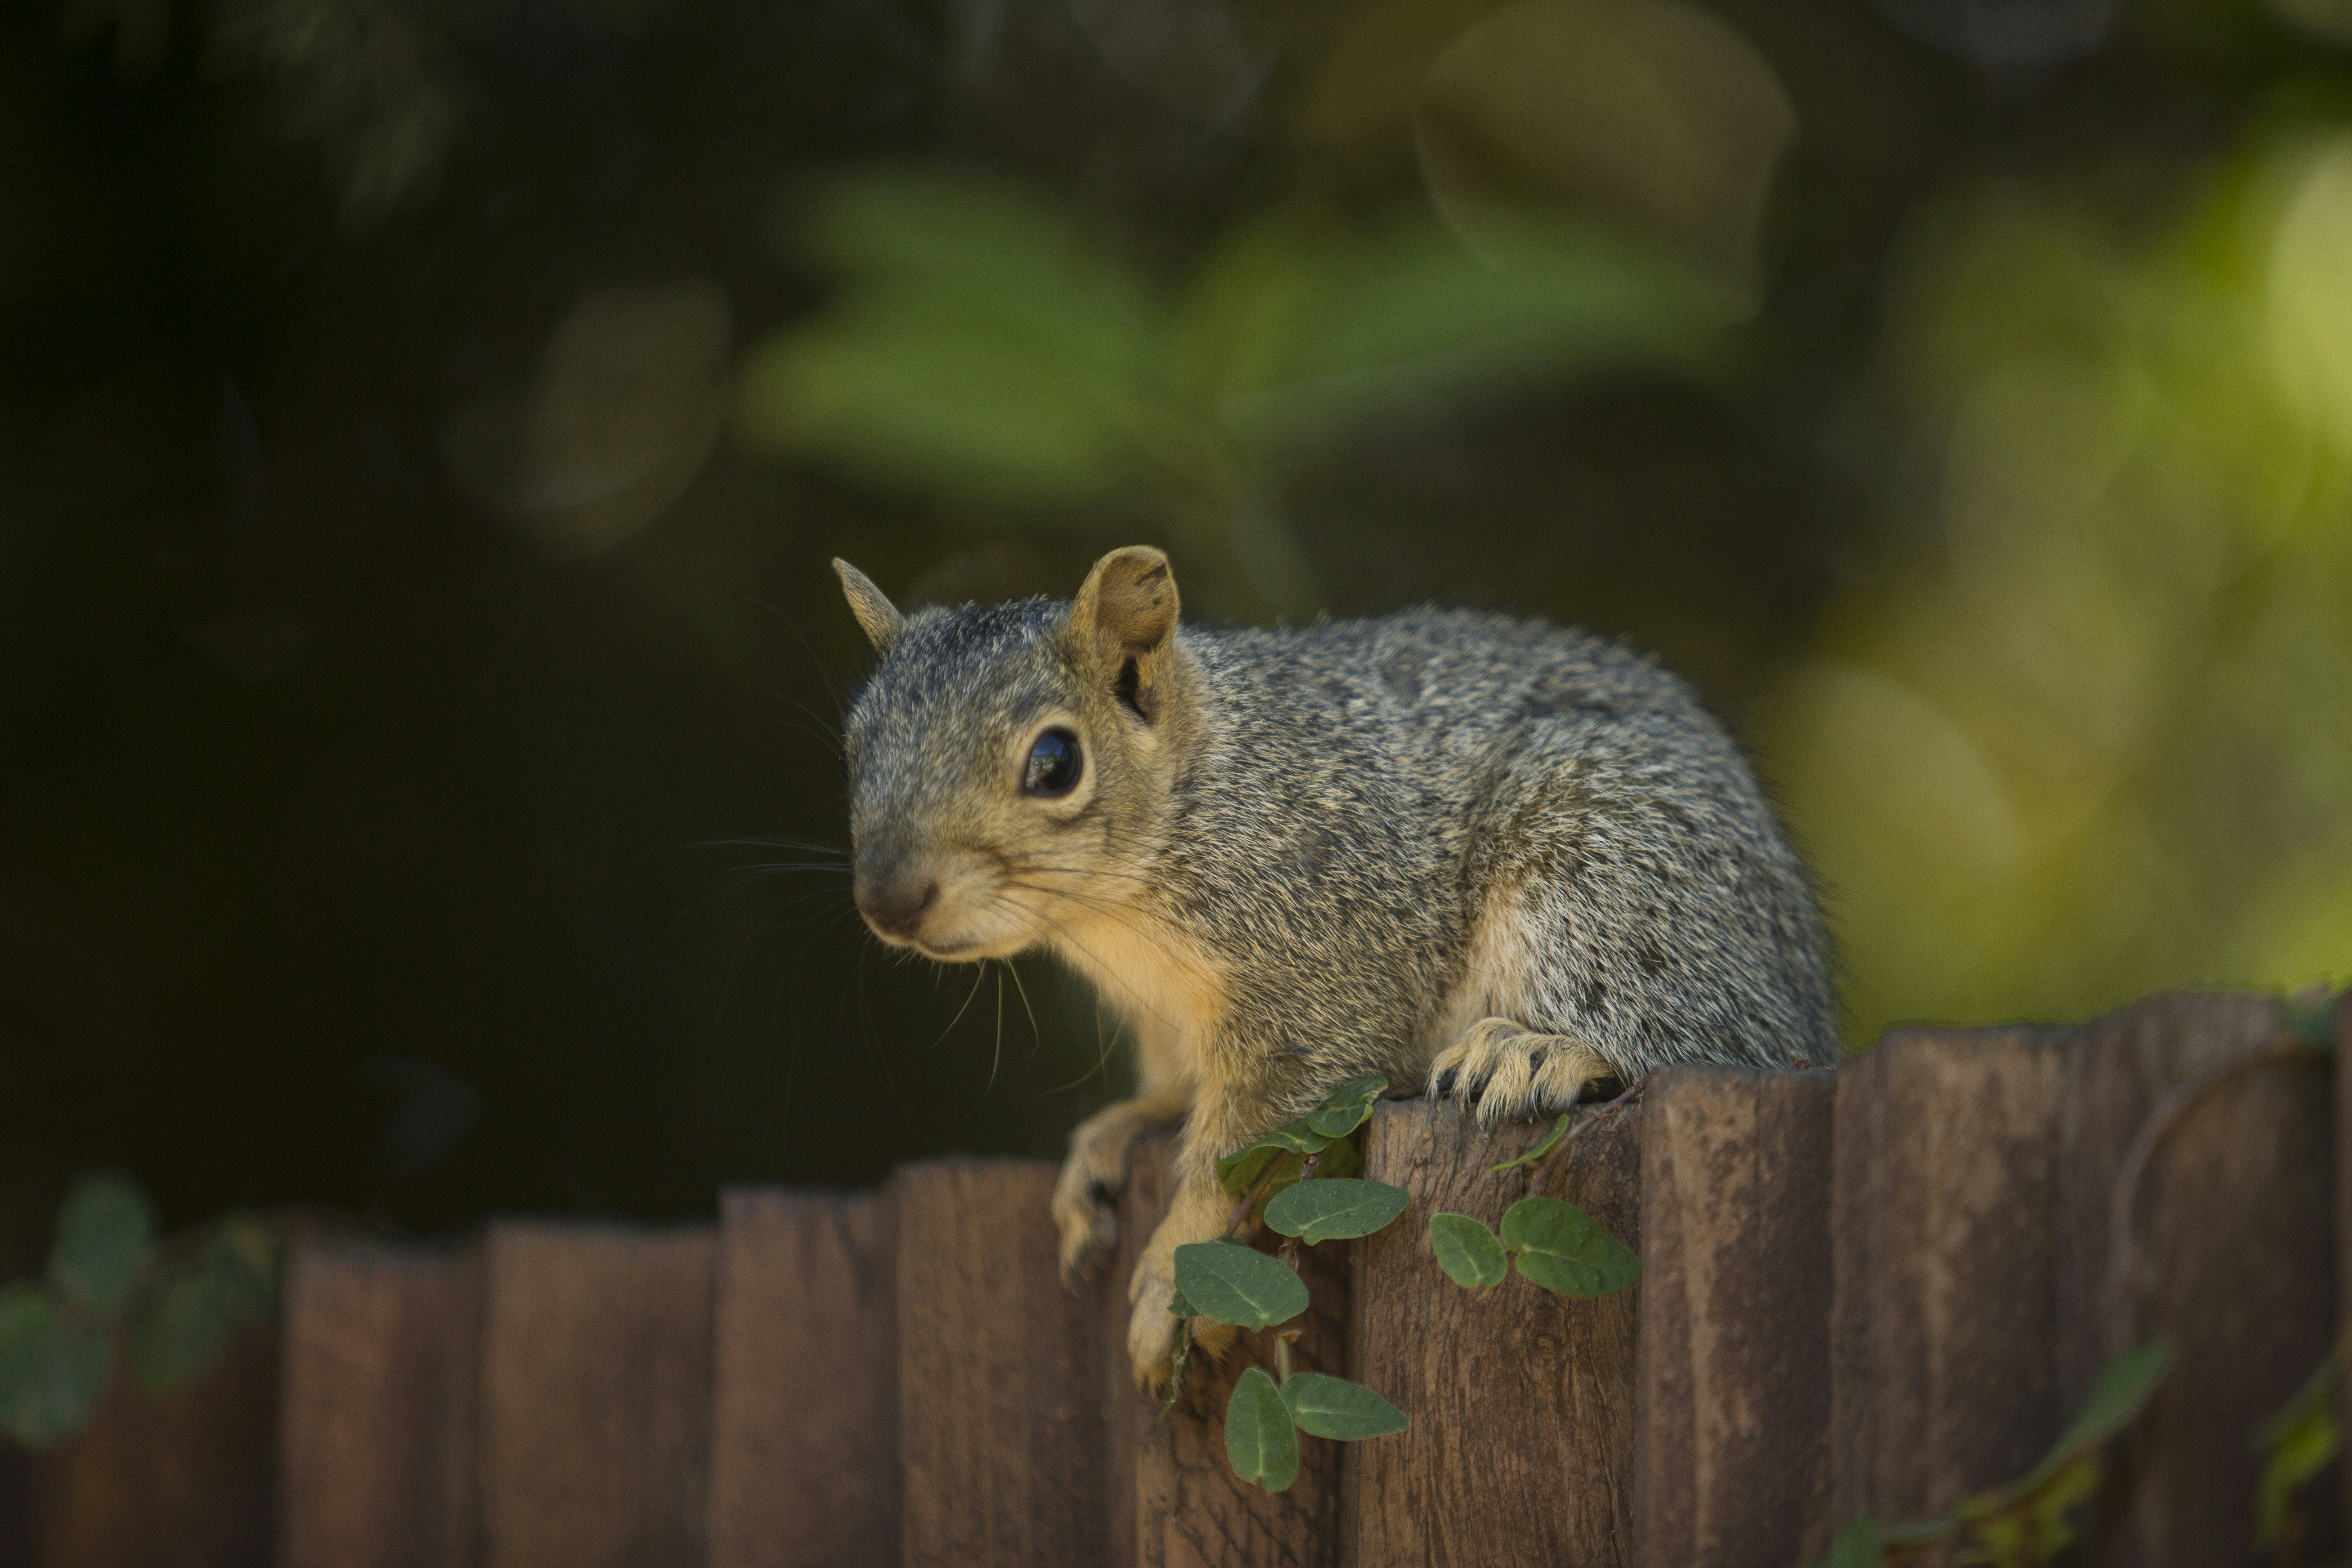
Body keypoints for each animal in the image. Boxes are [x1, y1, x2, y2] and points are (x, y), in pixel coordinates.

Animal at [831, 544, 1836, 1395]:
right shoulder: (1167, 1018)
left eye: (1056, 762)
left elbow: (1240, 1149)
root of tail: (1805, 991)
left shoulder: (1323, 969)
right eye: (853, 748)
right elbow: (1173, 1098)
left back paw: (1539, 1048)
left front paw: (1169, 1283)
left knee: (1705, 1036)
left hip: (1609, 870)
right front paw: (1116, 1132)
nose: (889, 899)